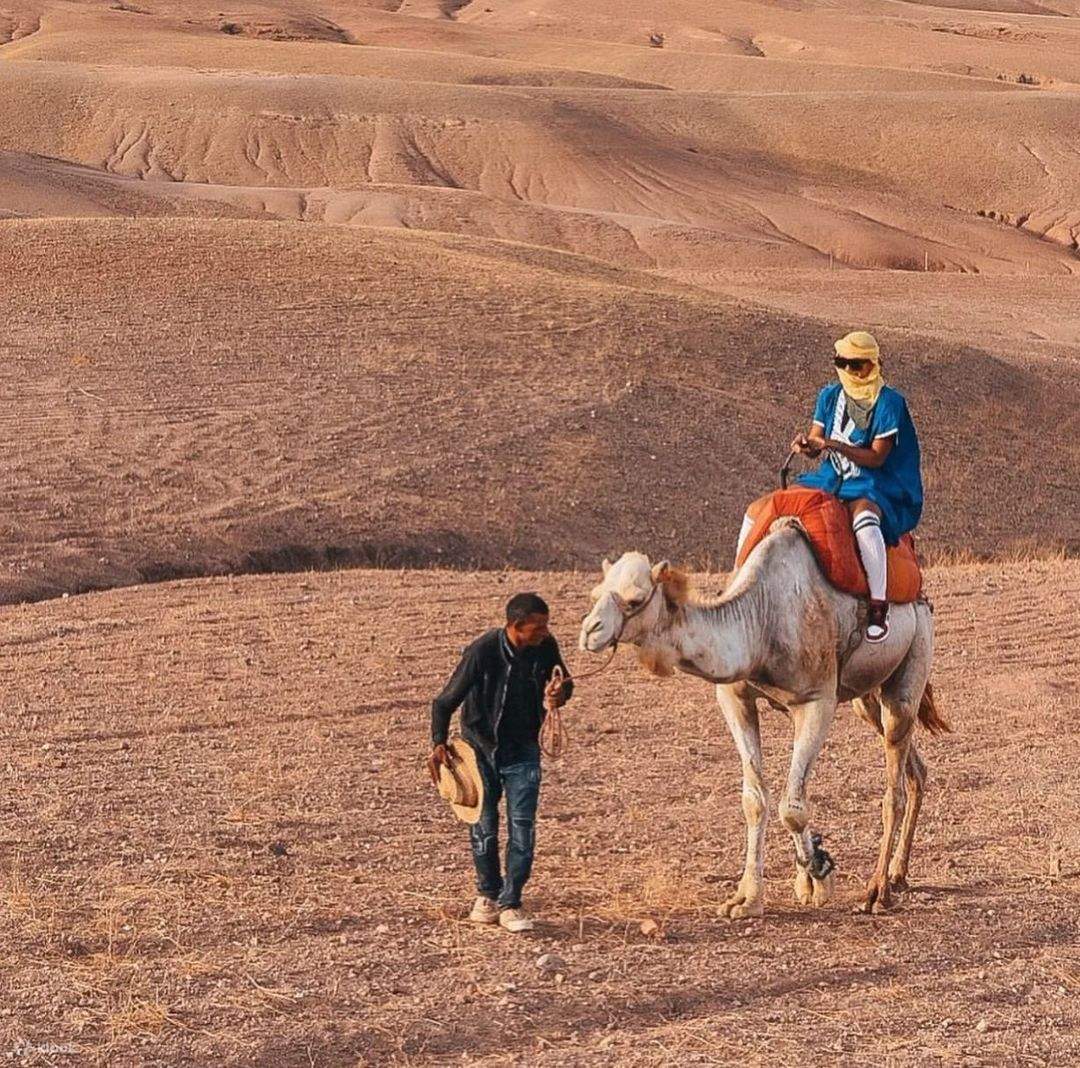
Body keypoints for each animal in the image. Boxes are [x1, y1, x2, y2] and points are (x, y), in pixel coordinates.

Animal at [578, 519, 949, 916]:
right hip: (865, 697)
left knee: (893, 782)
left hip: (914, 659)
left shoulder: (817, 700)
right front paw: (748, 897)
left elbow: (793, 807)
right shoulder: (734, 697)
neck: (760, 622)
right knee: (914, 767)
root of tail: (920, 594)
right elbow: (755, 800)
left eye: (634, 599)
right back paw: (898, 872)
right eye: (595, 594)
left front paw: (818, 871)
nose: (589, 631)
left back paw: (878, 891)